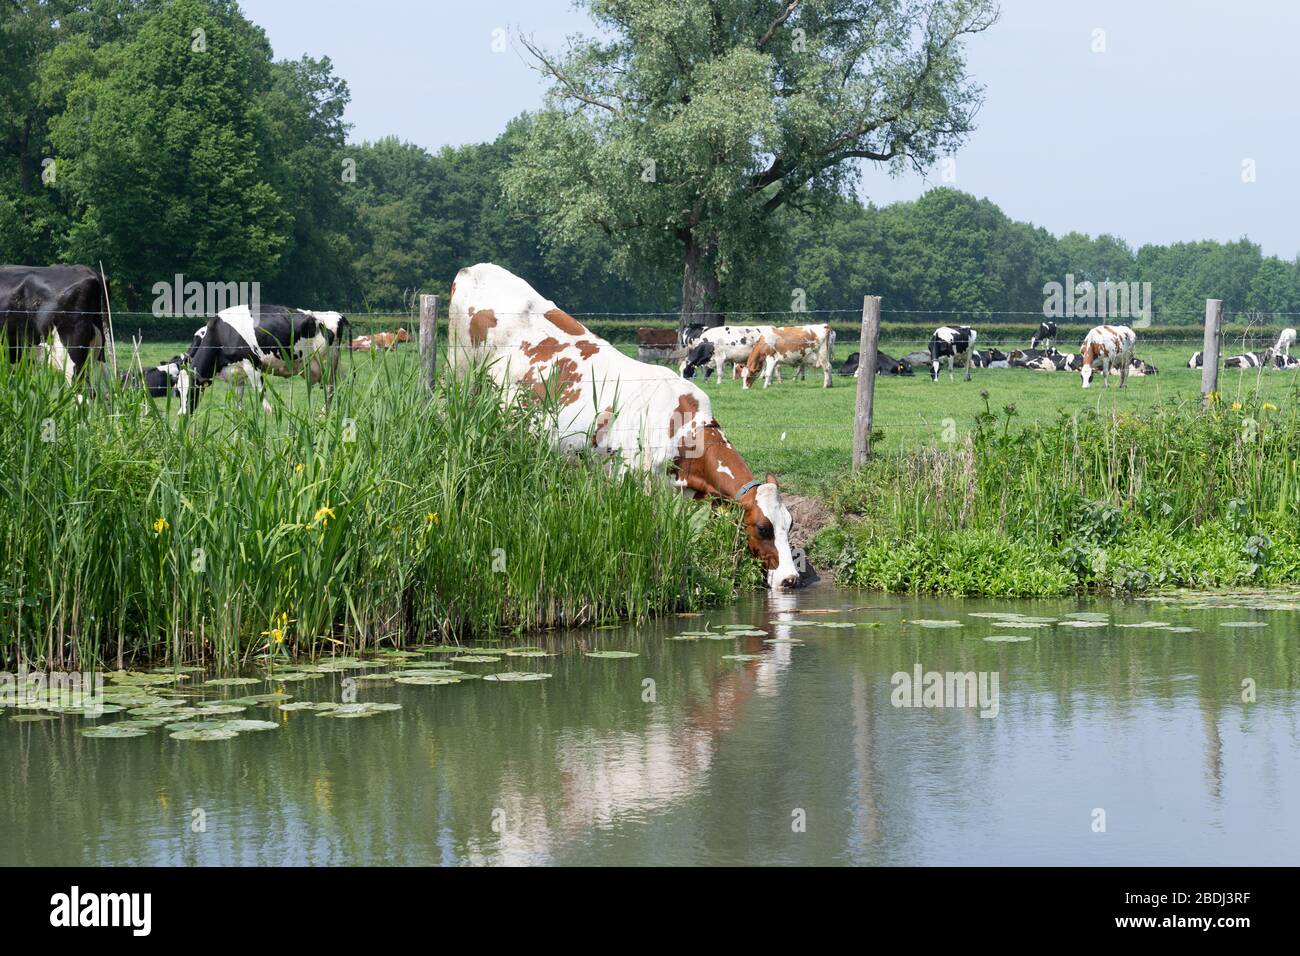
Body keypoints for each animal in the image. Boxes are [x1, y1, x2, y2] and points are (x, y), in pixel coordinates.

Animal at [176, 304, 350, 414]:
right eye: (177, 391)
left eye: (191, 389)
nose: (181, 414)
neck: (221, 334)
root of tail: (336, 315)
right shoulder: (236, 375)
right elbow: (238, 408)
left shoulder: (252, 366)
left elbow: (265, 405)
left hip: (327, 363)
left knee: (330, 389)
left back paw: (323, 415)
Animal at [447, 262, 801, 589]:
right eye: (763, 528)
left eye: (790, 523)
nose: (790, 578)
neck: (680, 430)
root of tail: (474, 269)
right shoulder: (626, 479)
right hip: (461, 377)